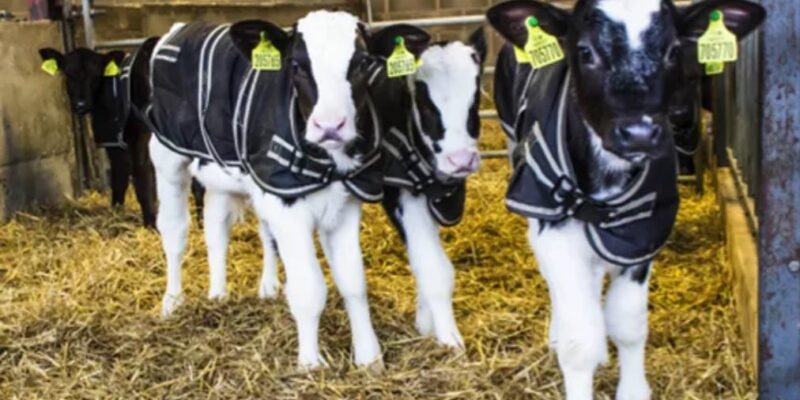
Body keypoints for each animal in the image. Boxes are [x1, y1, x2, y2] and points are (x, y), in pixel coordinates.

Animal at [39, 41, 160, 227]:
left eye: (96, 75)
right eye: (68, 74)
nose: (80, 104)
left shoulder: (120, 141)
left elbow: (124, 176)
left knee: (142, 172)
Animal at [146, 11, 430, 369]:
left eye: (364, 62)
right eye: (295, 64)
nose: (330, 126)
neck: (328, 163)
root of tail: (181, 27)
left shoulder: (343, 204)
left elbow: (353, 282)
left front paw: (369, 357)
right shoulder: (287, 206)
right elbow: (309, 288)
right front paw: (310, 363)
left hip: (224, 175)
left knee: (217, 228)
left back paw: (222, 292)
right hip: (166, 152)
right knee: (175, 230)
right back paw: (172, 301)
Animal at [365, 25, 486, 348]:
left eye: (475, 97)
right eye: (423, 103)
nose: (461, 160)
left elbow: (422, 259)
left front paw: (424, 322)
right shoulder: (401, 193)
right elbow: (434, 268)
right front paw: (448, 337)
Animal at [488, 1, 764, 399]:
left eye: (673, 50)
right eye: (585, 52)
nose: (639, 133)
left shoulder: (642, 232)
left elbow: (628, 324)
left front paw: (633, 388)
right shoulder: (554, 227)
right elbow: (579, 340)